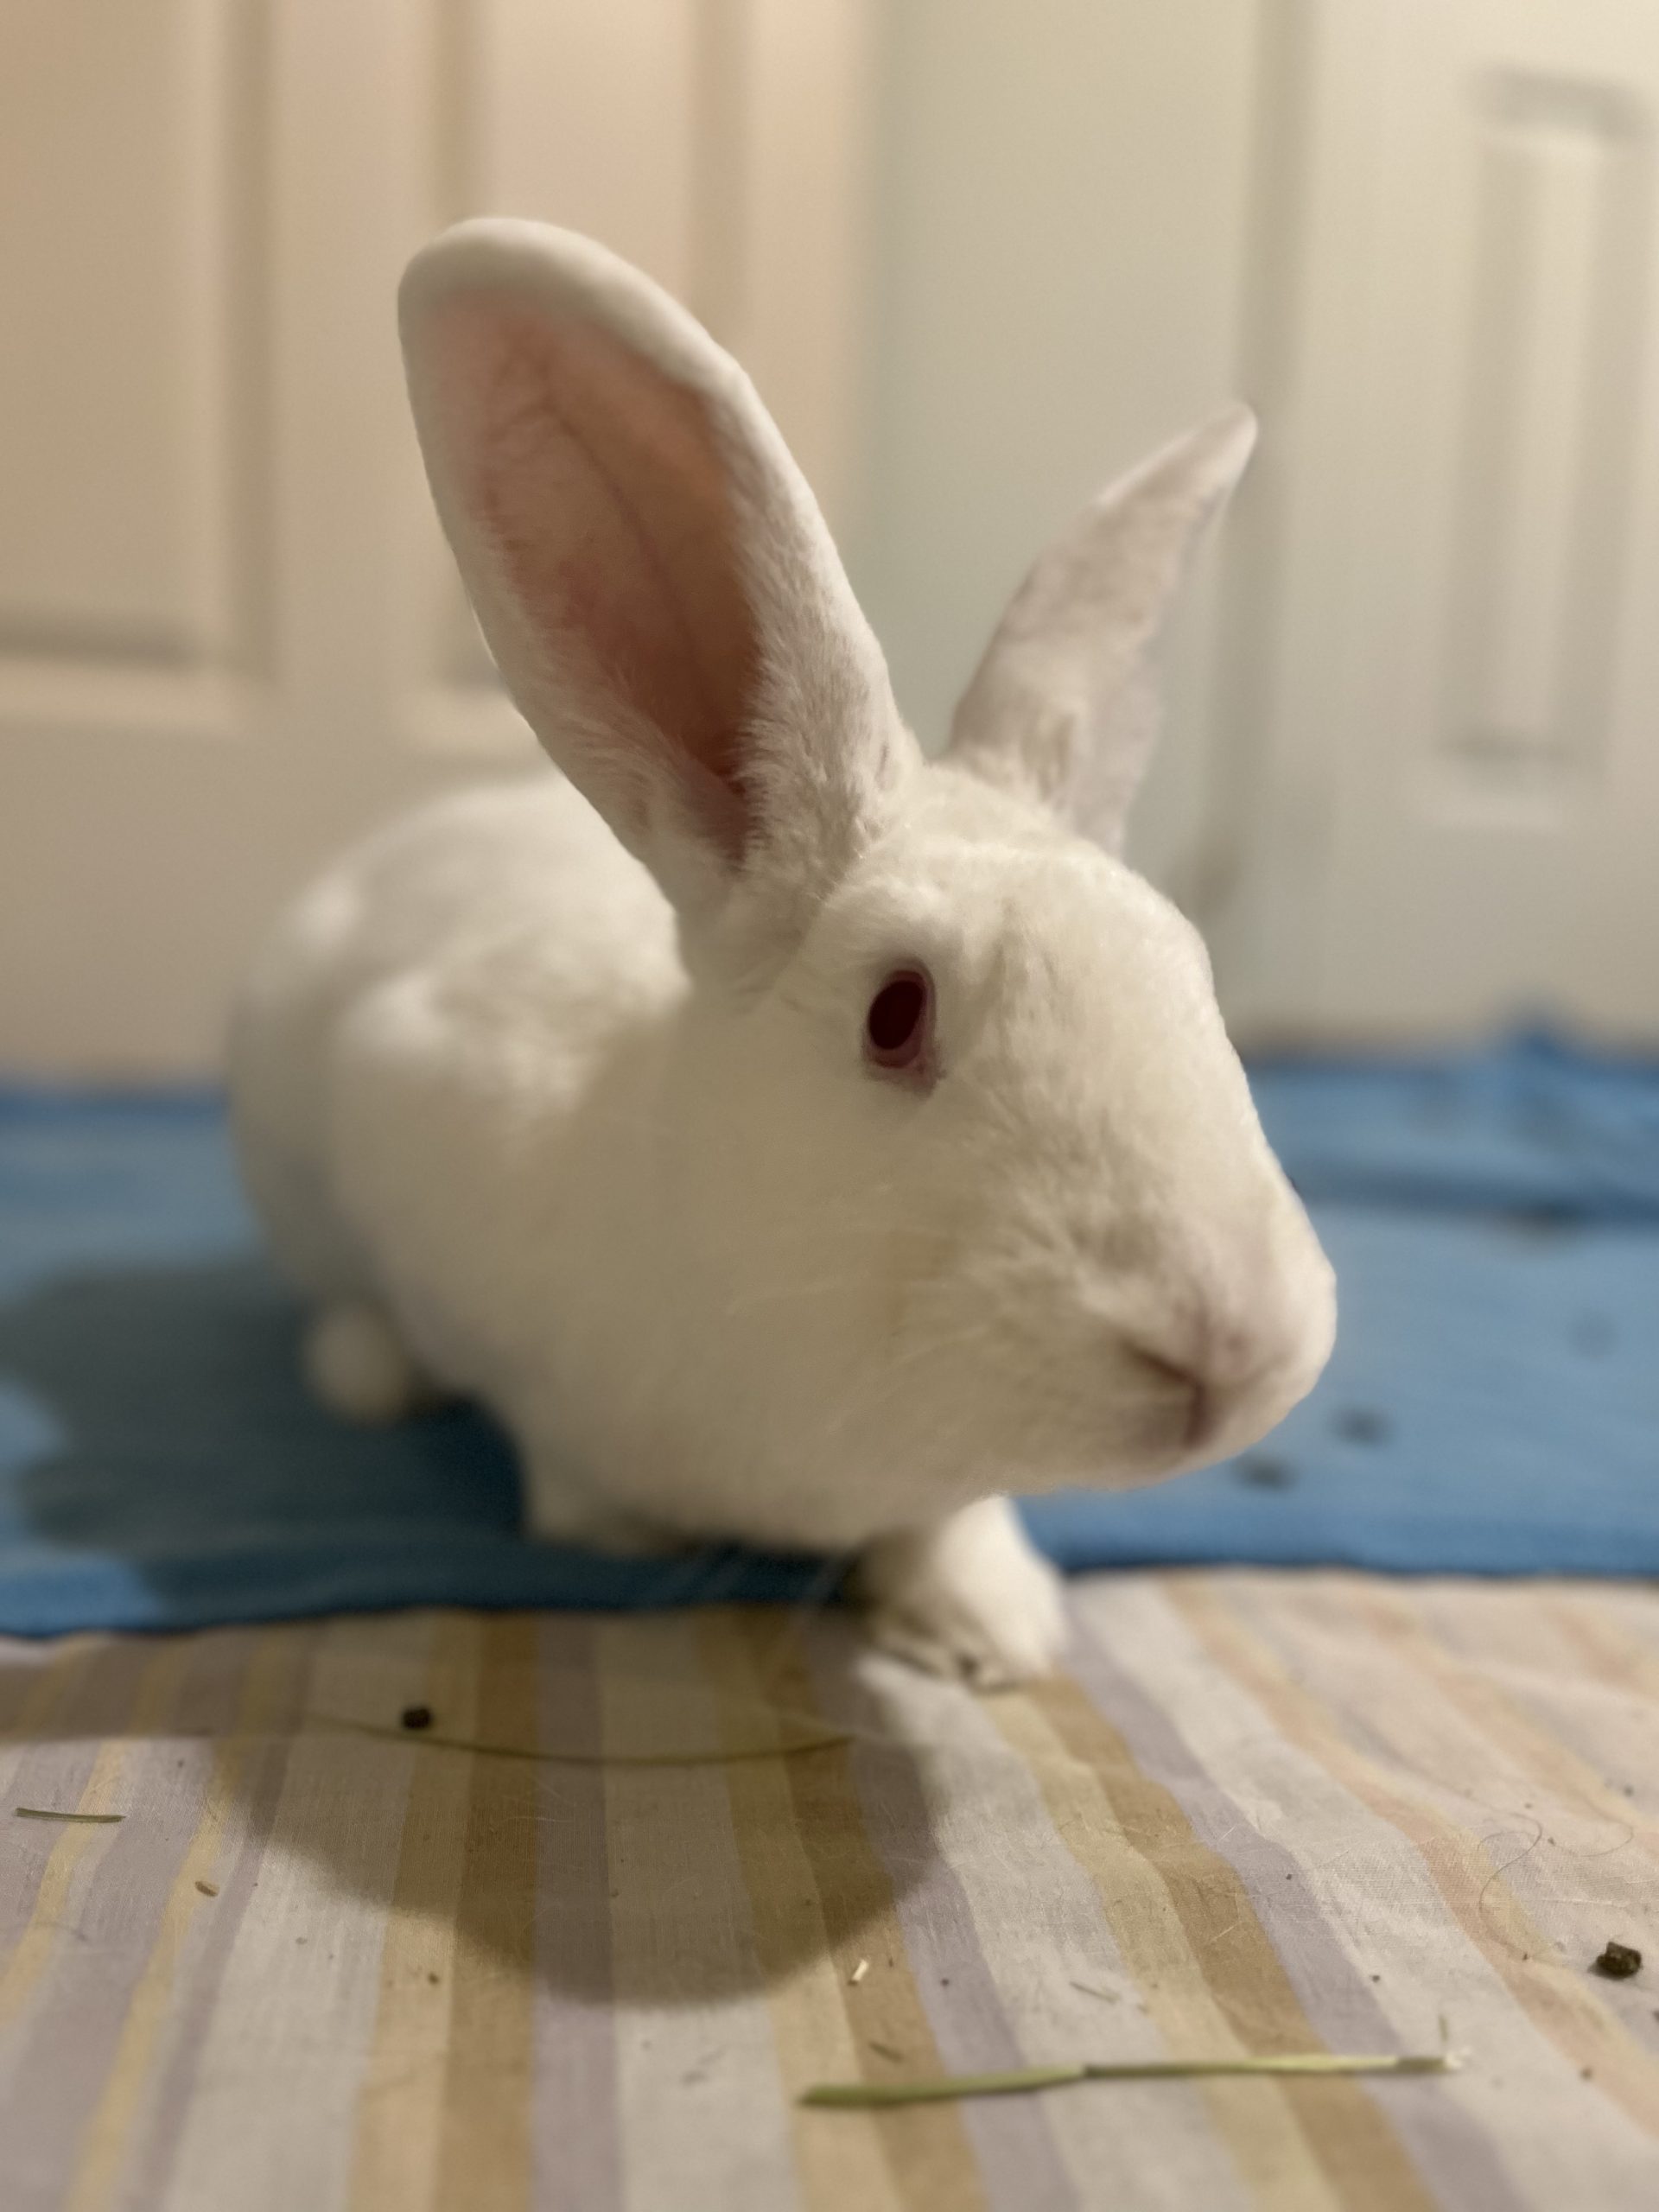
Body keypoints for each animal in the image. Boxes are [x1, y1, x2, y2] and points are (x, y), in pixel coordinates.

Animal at [228, 218, 1336, 1686]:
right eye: (895, 1012)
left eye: (1191, 971)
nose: (1231, 1343)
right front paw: (612, 1528)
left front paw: (986, 1630)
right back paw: (368, 1378)